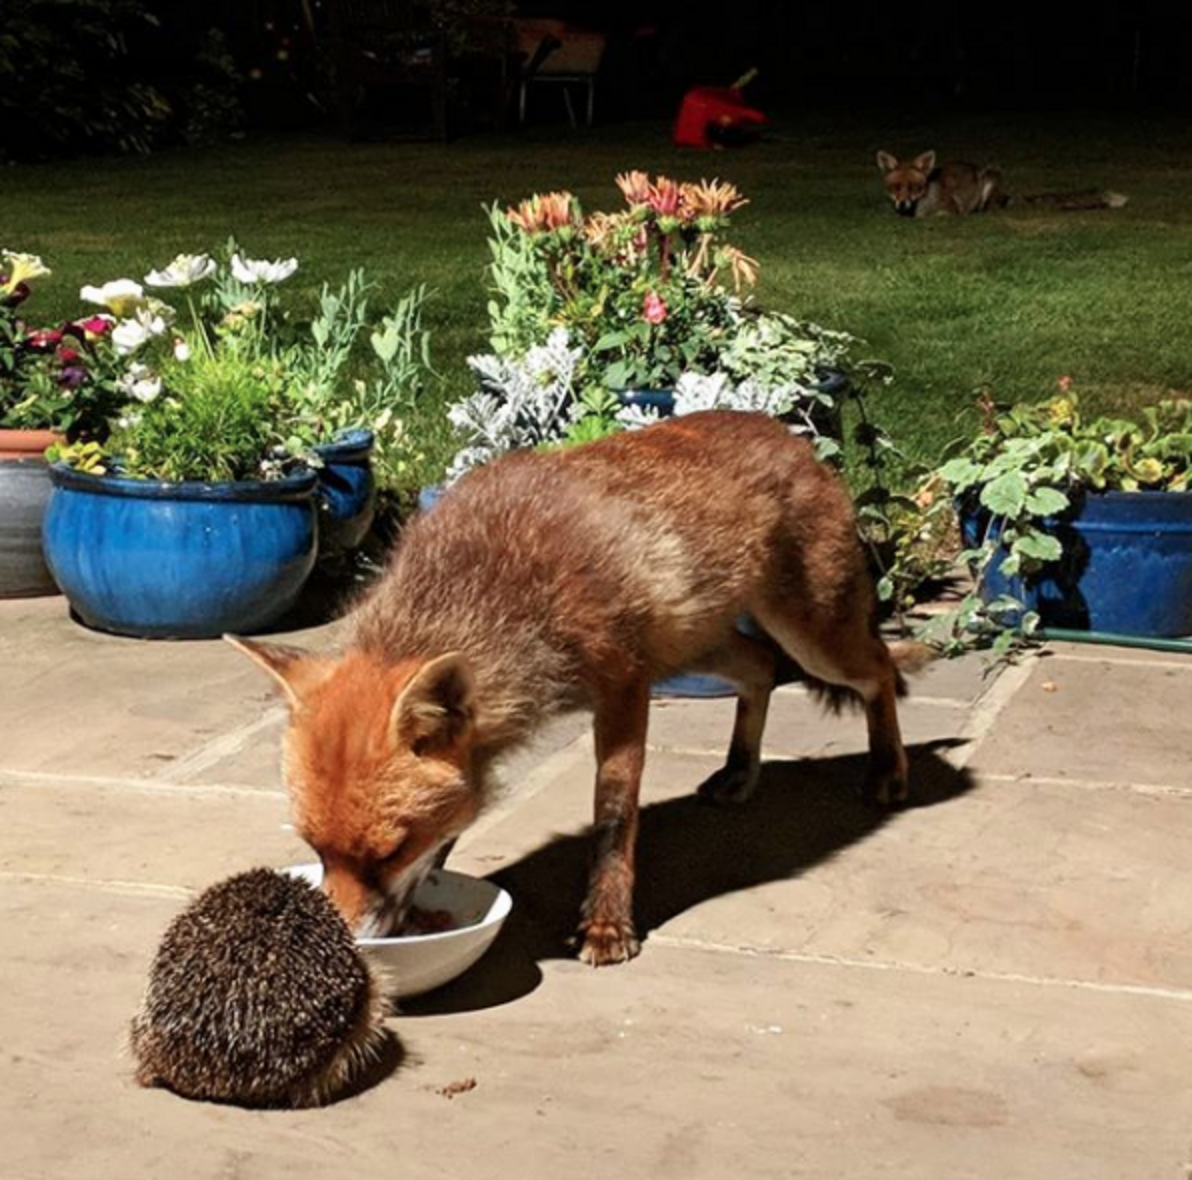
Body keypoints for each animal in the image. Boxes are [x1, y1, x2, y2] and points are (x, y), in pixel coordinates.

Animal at [228, 411, 927, 968]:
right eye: (315, 849)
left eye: (389, 850)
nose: (341, 942)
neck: (503, 589)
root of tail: (789, 431)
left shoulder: (623, 686)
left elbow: (613, 819)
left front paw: (607, 925)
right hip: (698, 645)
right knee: (760, 668)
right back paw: (739, 770)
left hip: (812, 634)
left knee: (877, 673)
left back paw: (890, 769)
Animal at [876, 149, 1128, 218]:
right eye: (895, 188)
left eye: (915, 187)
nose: (903, 205)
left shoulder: (950, 211)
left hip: (991, 174)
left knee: (986, 207)